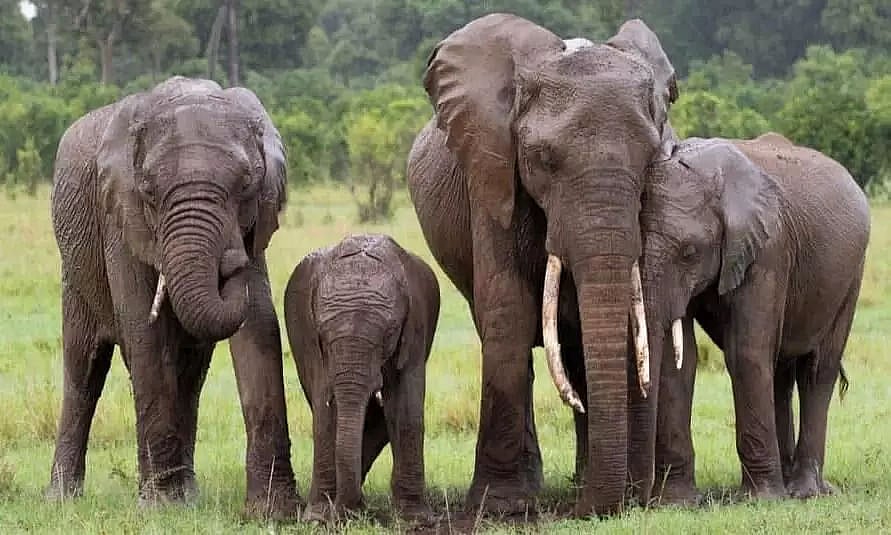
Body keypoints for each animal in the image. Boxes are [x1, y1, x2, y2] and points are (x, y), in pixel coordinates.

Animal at [47, 76, 300, 518]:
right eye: (149, 191)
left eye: (247, 185)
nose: (232, 260)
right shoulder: (120, 217)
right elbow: (144, 333)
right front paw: (161, 510)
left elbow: (259, 326)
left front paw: (274, 513)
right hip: (75, 269)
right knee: (84, 367)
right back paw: (63, 499)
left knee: (190, 374)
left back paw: (188, 494)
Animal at [284, 234, 440, 521]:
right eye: (322, 334)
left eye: (389, 333)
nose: (350, 514)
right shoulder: (311, 341)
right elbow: (324, 412)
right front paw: (319, 518)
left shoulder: (416, 325)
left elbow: (406, 407)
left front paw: (415, 518)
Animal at [407, 13, 679, 515]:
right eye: (542, 159)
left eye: (652, 158)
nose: (592, 509)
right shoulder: (491, 174)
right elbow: (508, 308)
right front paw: (501, 506)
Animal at [618, 133, 867, 503]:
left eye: (689, 253)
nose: (639, 501)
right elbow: (682, 362)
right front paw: (678, 502)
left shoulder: (768, 250)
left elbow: (745, 354)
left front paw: (761, 499)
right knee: (780, 372)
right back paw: (790, 482)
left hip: (850, 276)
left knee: (817, 370)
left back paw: (804, 491)